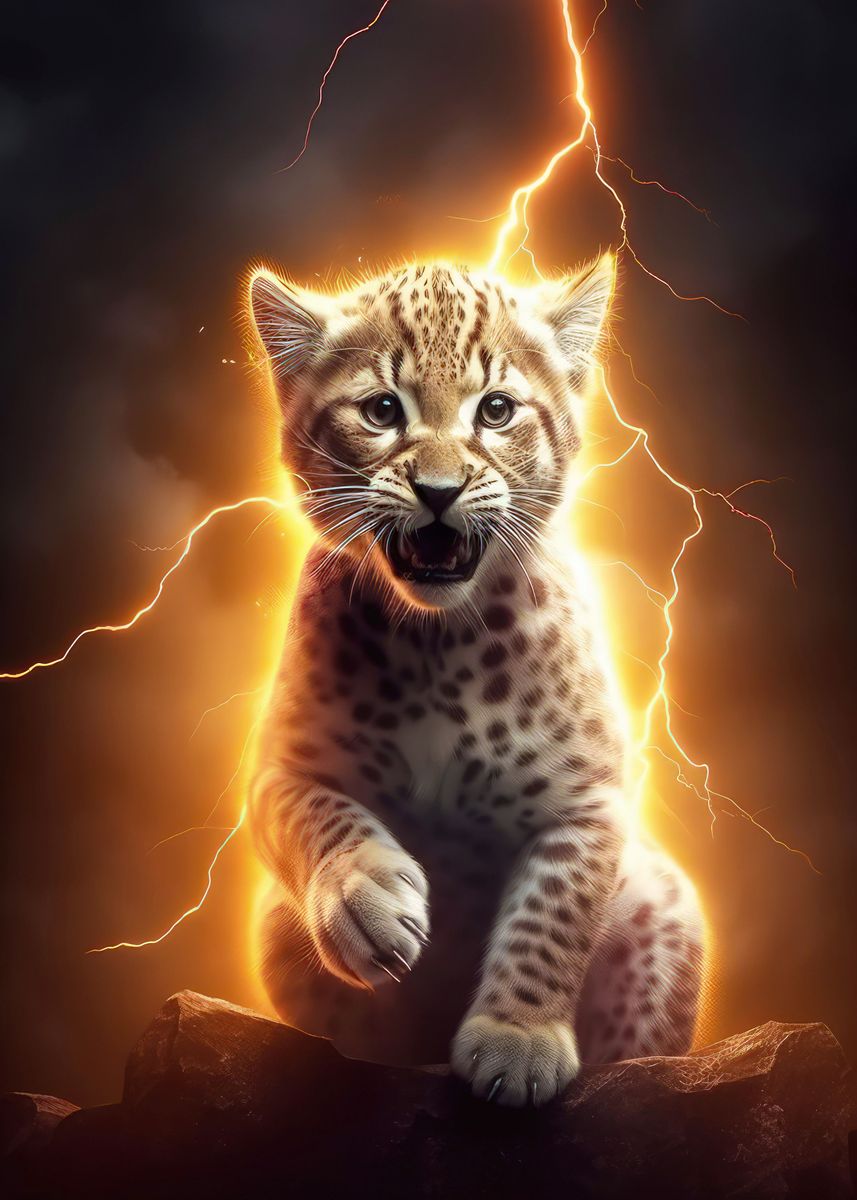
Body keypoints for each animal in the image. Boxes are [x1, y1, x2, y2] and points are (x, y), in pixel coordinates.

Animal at [247, 256, 705, 1107]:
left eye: (495, 411)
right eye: (381, 410)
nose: (437, 491)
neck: (439, 641)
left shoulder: (585, 799)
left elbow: (552, 913)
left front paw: (516, 1040)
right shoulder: (280, 768)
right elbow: (317, 819)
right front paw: (367, 899)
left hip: (667, 903)